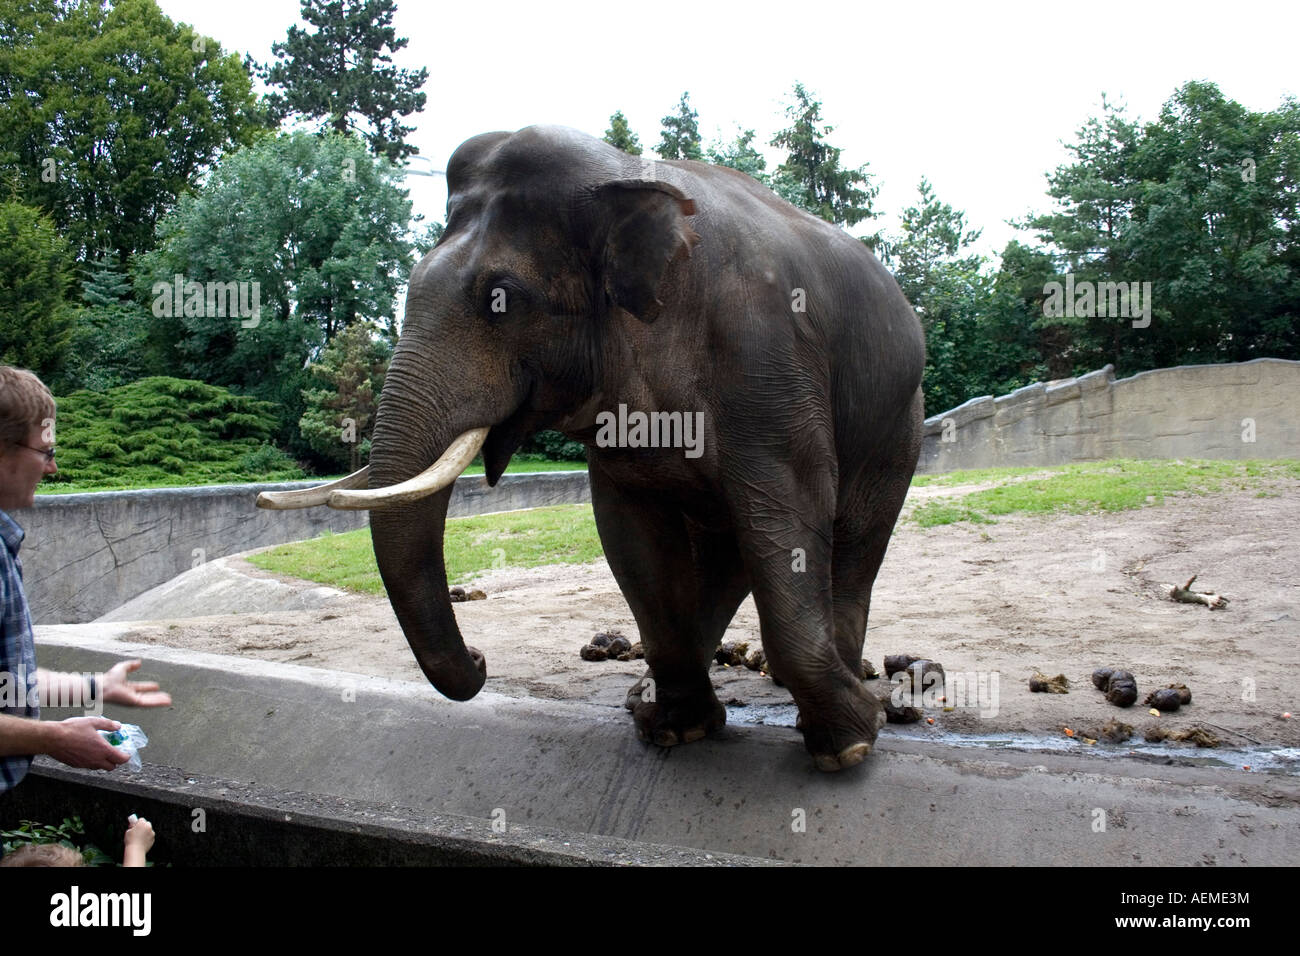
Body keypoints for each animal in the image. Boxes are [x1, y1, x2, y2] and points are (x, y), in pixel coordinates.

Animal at [258, 125, 925, 771]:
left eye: (502, 298)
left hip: (899, 425)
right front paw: (675, 729)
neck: (625, 172)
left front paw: (848, 747)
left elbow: (788, 510)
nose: (480, 658)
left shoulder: (766, 357)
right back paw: (653, 696)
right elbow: (634, 537)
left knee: (852, 537)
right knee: (731, 548)